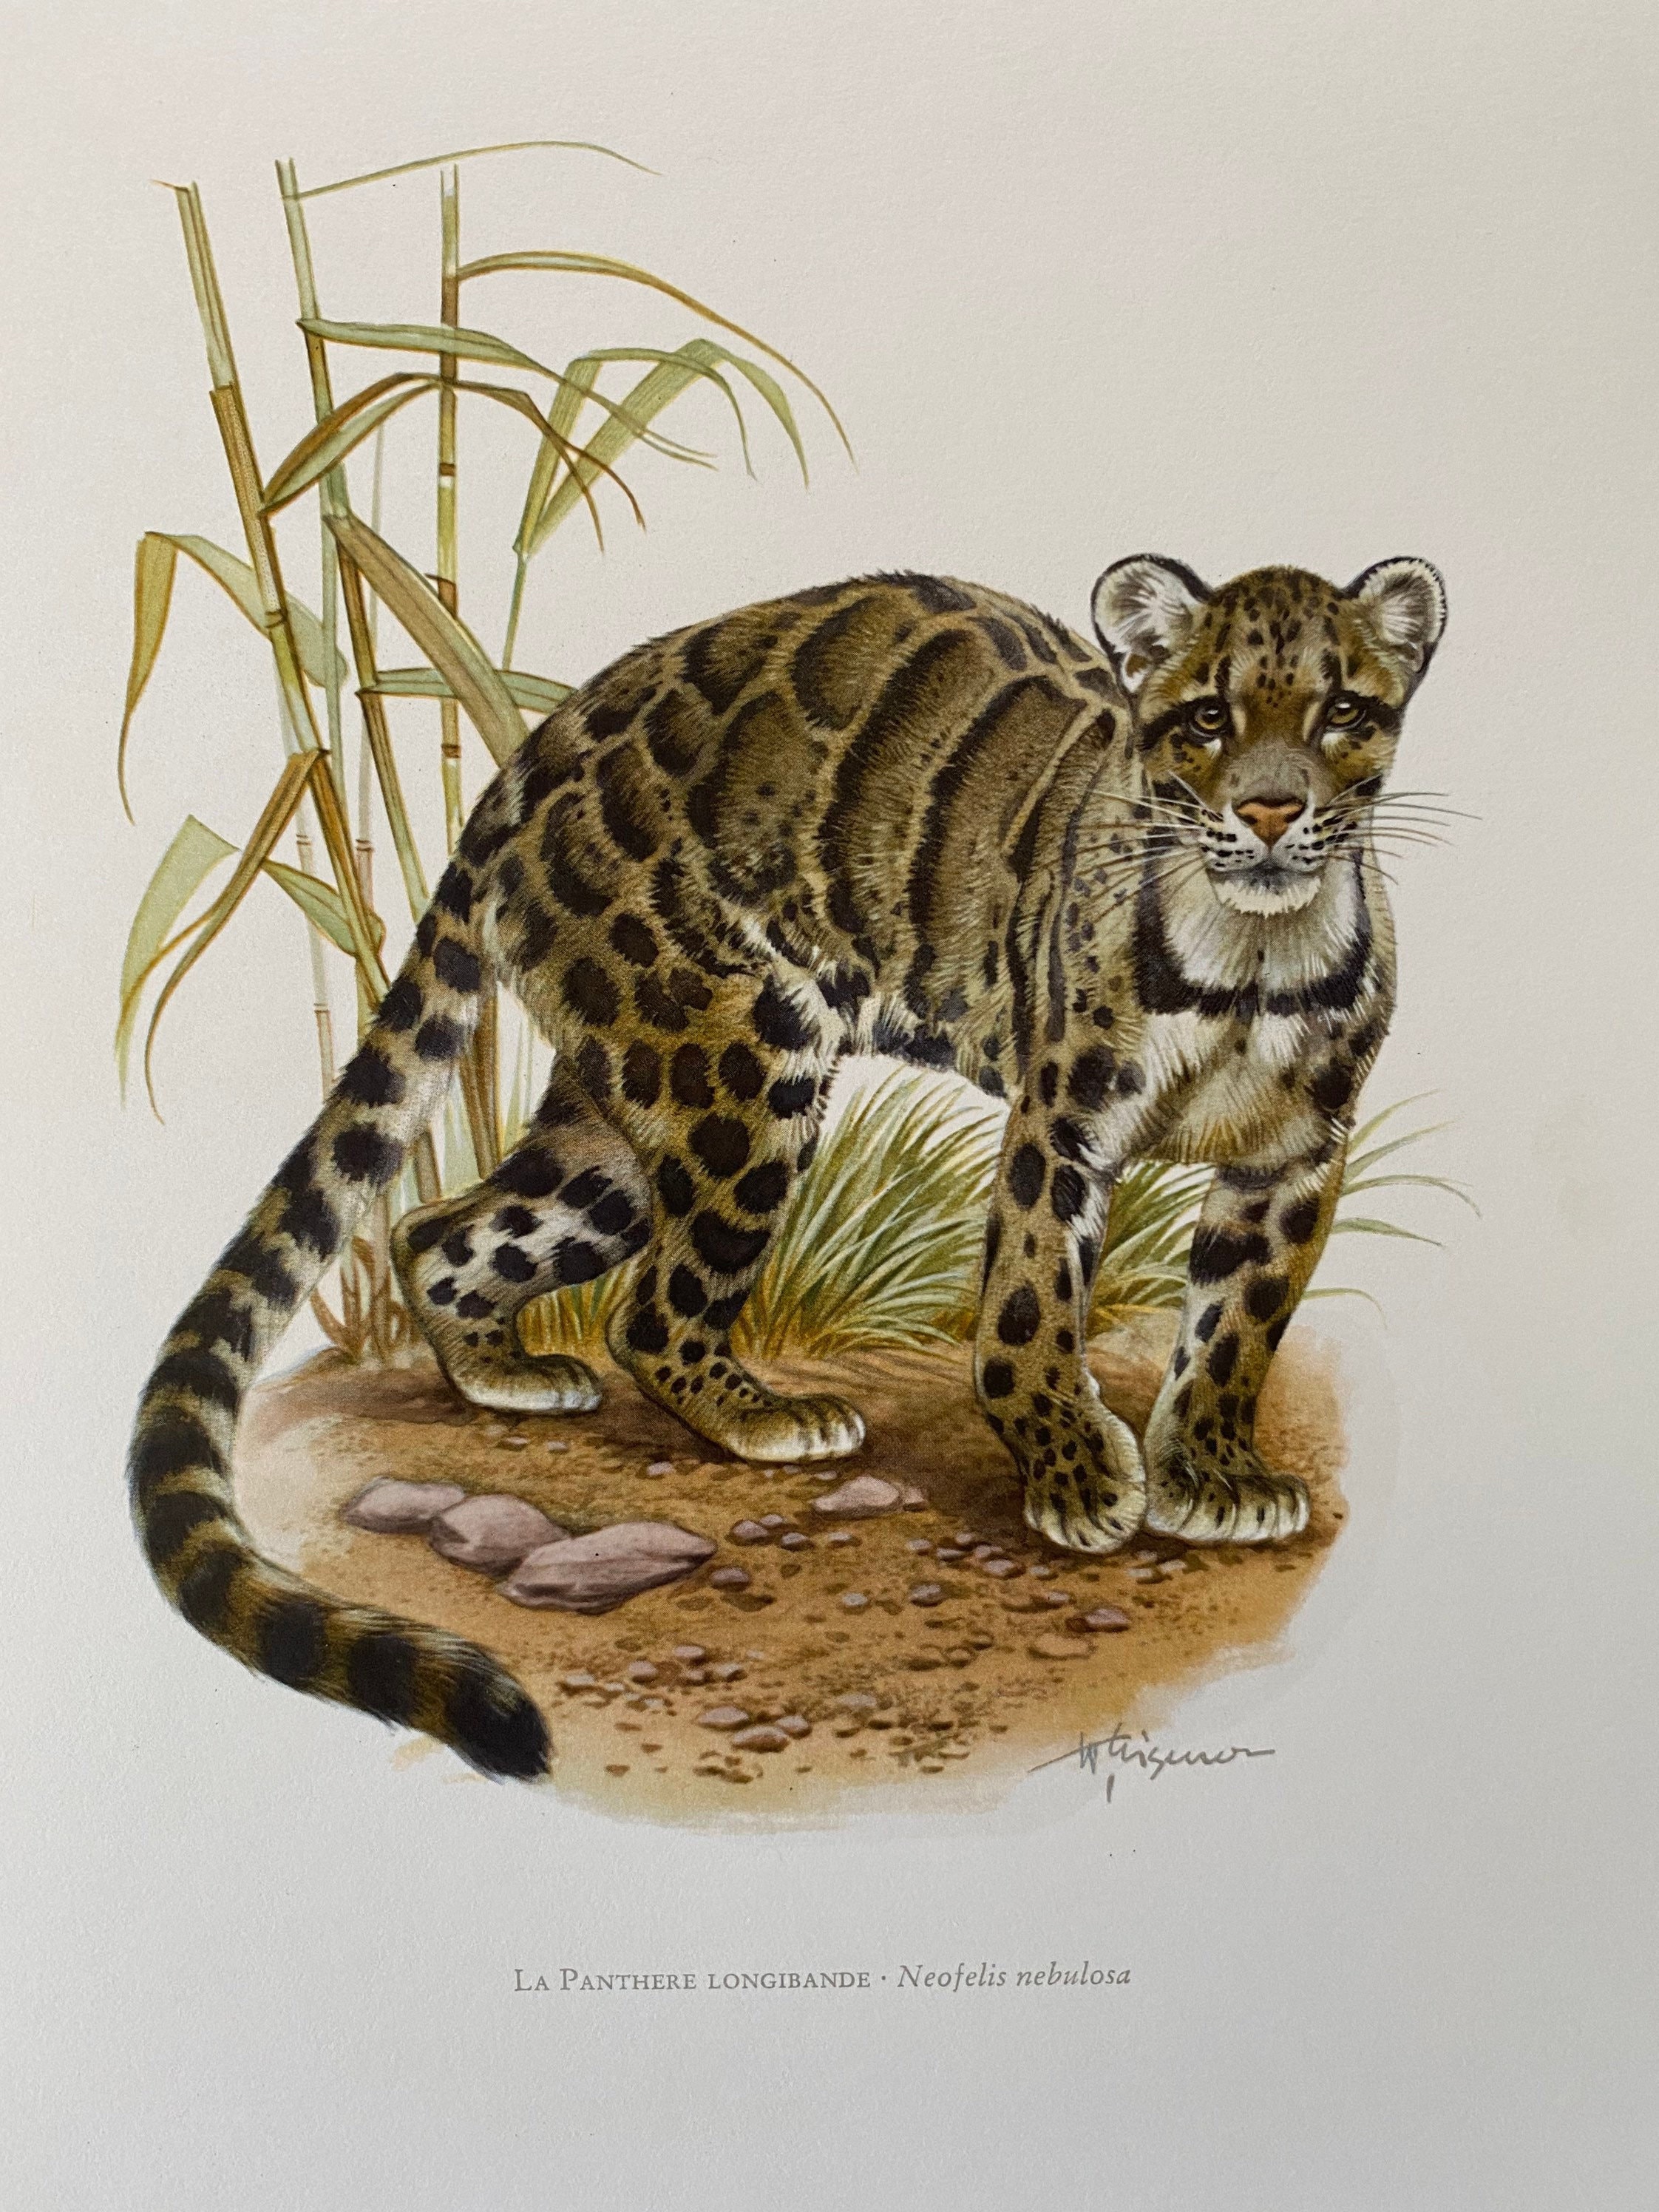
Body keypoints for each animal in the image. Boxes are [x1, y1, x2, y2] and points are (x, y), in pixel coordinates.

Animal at [128, 552, 1446, 1778]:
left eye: (1341, 711)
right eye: (1209, 718)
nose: (1271, 813)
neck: (1256, 954)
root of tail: (537, 751)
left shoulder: (1293, 1157)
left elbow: (1236, 1329)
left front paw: (1215, 1472)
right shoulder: (1060, 1126)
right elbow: (1029, 1312)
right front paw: (1076, 1480)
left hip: (620, 1128)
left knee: (439, 1231)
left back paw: (503, 1373)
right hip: (740, 1064)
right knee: (653, 1308)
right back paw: (770, 1418)